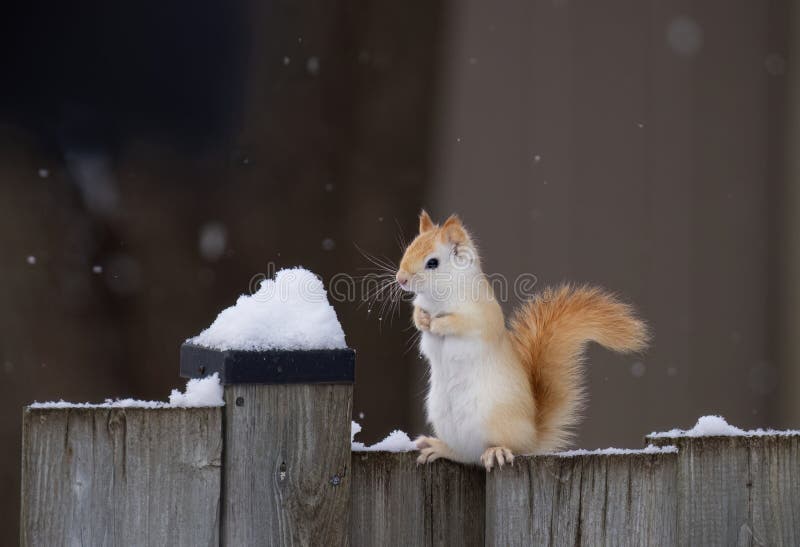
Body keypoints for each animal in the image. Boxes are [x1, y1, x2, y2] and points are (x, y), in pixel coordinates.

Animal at [395, 211, 649, 470]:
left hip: (494, 420)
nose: (400, 279)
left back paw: (496, 451)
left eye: (432, 263)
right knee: (466, 455)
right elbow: (418, 315)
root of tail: (532, 438)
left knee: (506, 447)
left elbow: (465, 324)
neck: (438, 298)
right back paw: (438, 448)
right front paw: (422, 319)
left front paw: (437, 324)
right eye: (409, 249)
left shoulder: (482, 314)